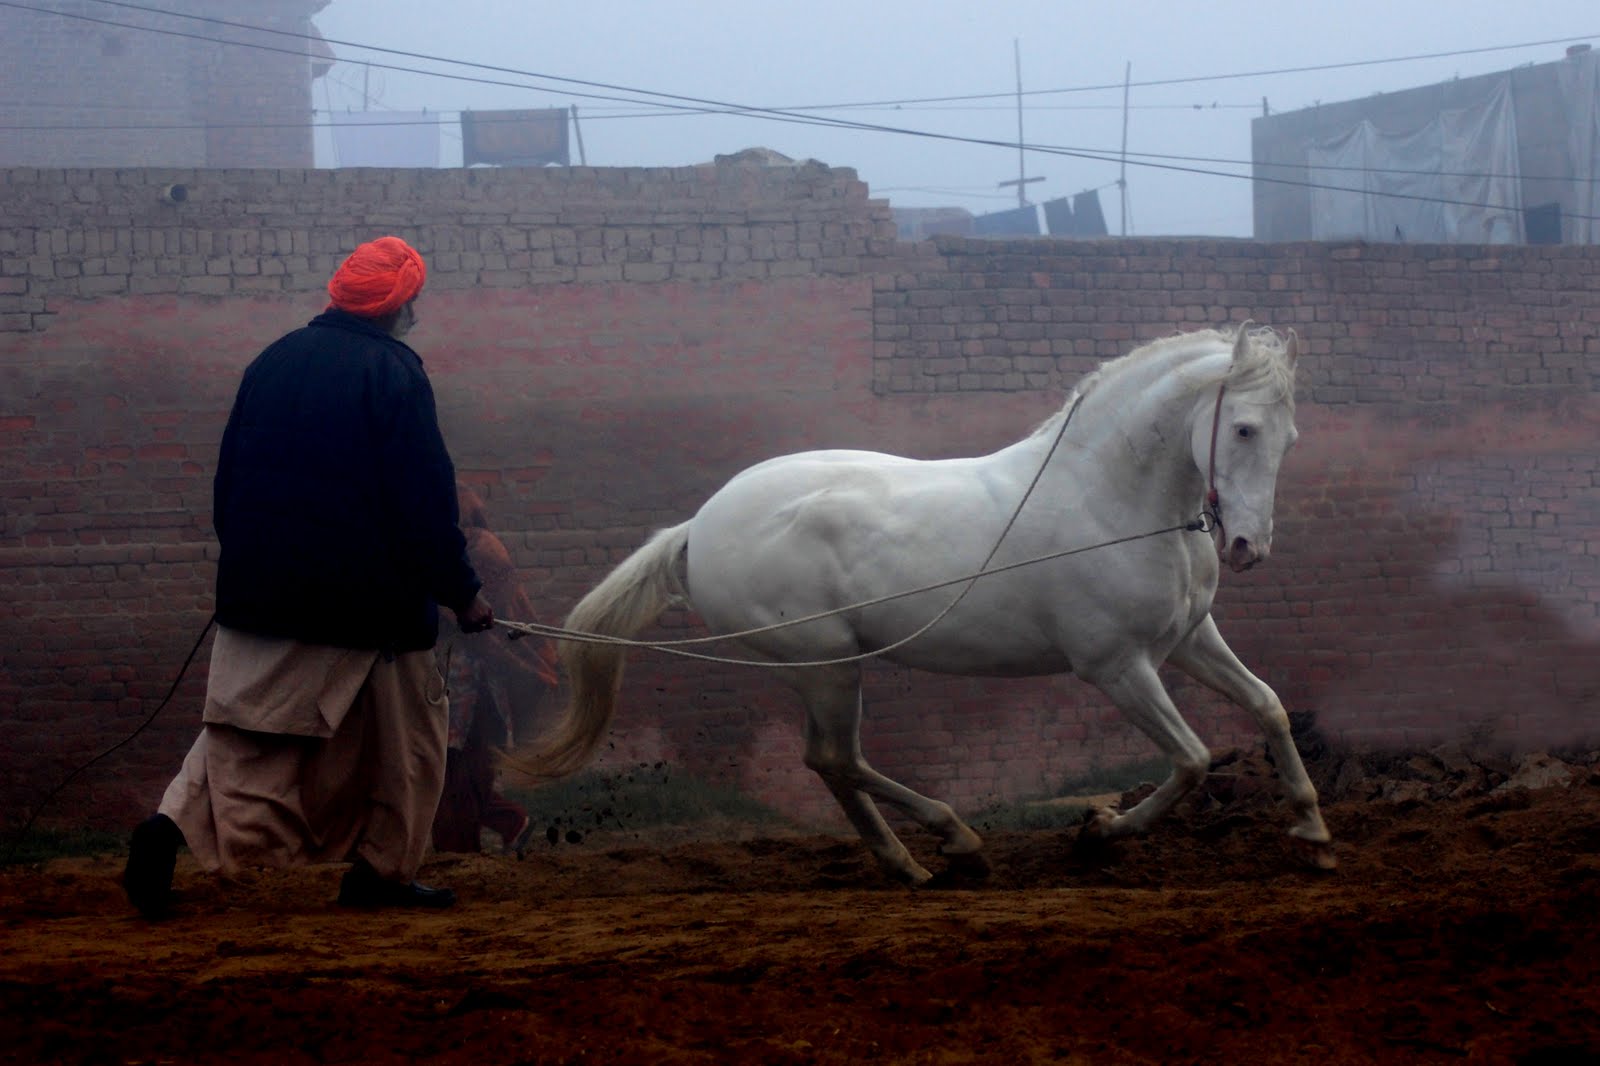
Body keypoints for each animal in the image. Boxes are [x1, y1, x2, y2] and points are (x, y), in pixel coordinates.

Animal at [523, 324, 1334, 883]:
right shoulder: (1116, 667)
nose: (1248, 547)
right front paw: (1101, 830)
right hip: (827, 667)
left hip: (828, 671)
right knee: (835, 760)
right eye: (1243, 428)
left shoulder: (1190, 638)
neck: (1106, 500)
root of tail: (698, 526)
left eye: (1291, 436)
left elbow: (1267, 707)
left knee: (834, 762)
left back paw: (922, 855)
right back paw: (943, 846)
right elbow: (1193, 760)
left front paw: (1314, 834)